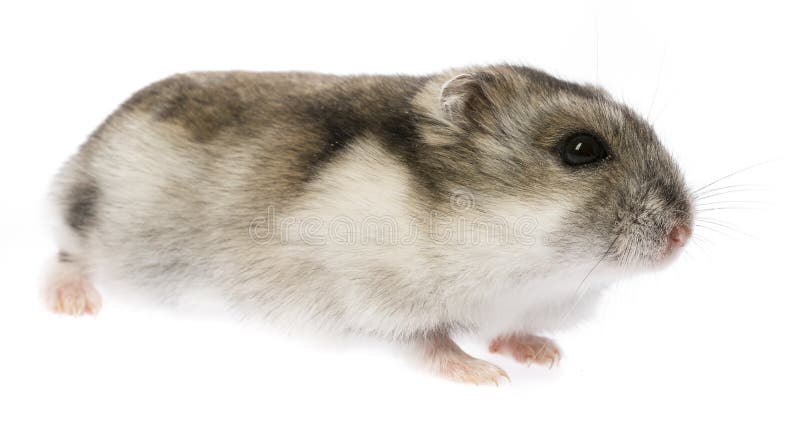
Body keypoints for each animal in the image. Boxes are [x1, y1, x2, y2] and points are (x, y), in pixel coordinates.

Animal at [43, 65, 693, 384]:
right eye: (581, 148)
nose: (683, 235)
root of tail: (85, 154)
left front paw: (543, 354)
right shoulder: (366, 295)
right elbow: (424, 340)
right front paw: (484, 376)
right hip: (103, 229)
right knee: (68, 254)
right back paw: (73, 306)